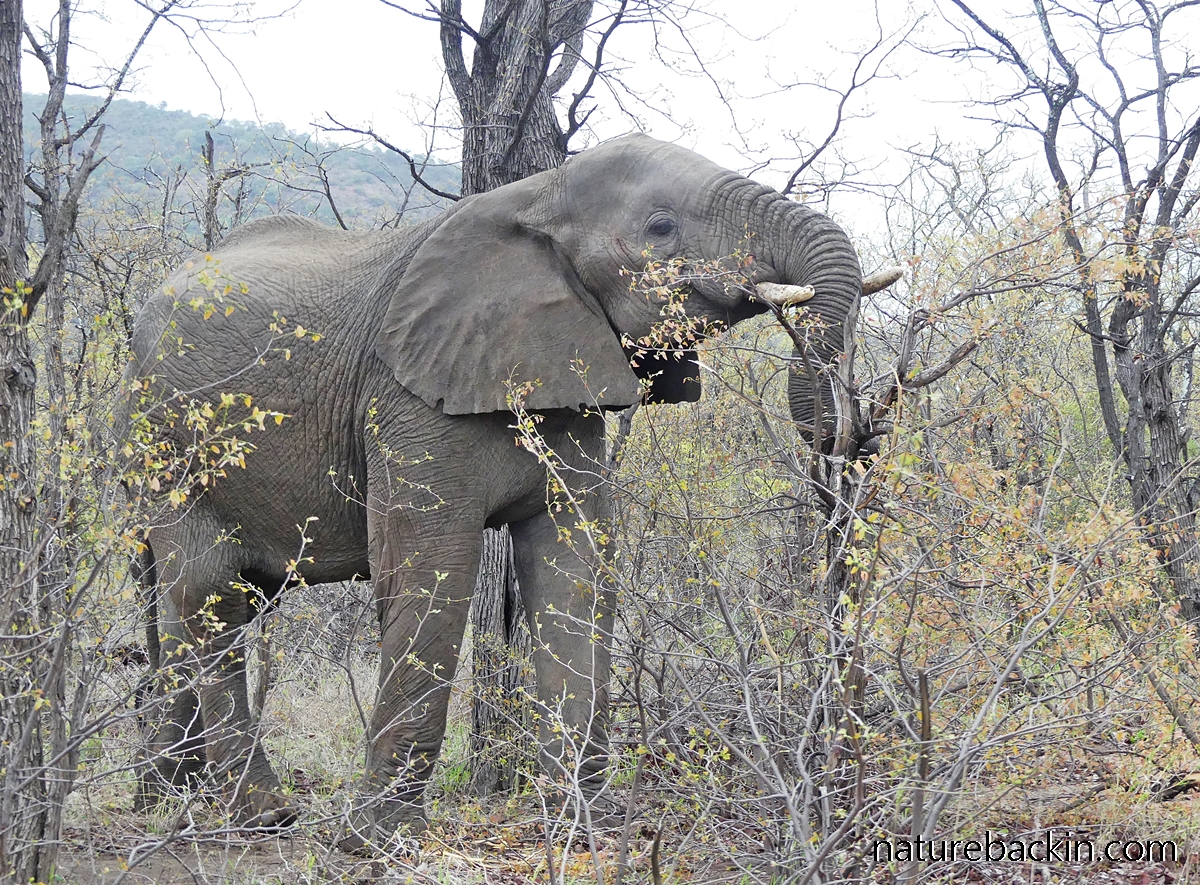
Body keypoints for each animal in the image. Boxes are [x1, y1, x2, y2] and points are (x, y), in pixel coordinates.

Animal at [127, 133, 863, 851]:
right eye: (661, 227)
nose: (835, 433)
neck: (536, 198)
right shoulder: (409, 399)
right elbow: (432, 575)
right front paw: (380, 844)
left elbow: (574, 573)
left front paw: (583, 829)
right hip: (169, 443)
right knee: (210, 595)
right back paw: (261, 817)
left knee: (206, 603)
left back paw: (168, 802)